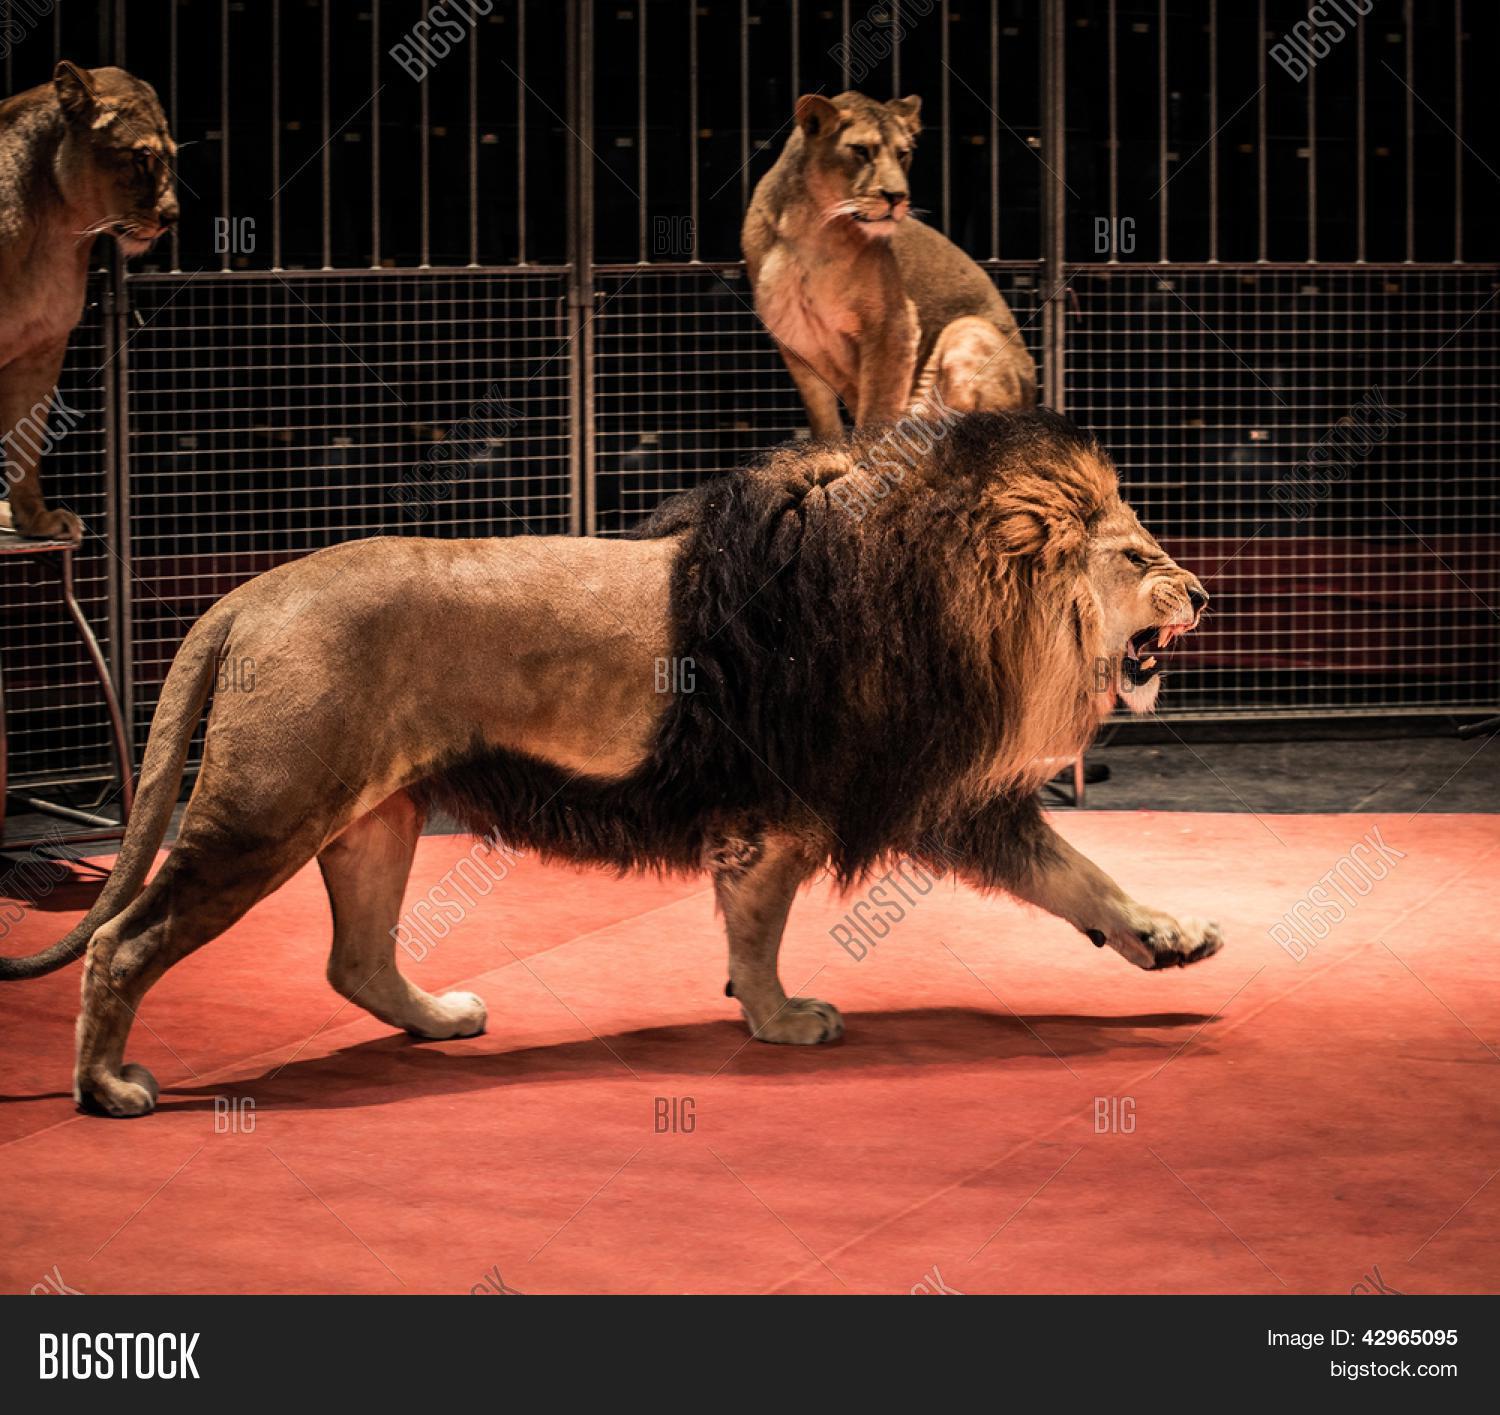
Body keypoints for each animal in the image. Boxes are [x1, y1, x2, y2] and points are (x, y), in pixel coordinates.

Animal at [0, 62, 179, 541]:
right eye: (141, 156)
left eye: (170, 156)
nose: (172, 216)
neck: (55, 226)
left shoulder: (43, 346)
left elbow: (25, 441)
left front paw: (36, 520)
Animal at [0, 410, 1218, 1118]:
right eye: (1139, 555)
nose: (1205, 592)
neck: (940, 590)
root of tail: (250, 591)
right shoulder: (789, 808)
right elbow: (759, 932)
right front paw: (781, 1020)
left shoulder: (936, 795)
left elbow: (1079, 875)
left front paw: (1171, 936)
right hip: (268, 808)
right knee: (120, 940)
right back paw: (107, 1086)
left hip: (374, 815)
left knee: (353, 957)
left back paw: (438, 1017)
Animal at [743, 90, 1036, 438]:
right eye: (860, 150)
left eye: (903, 154)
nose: (897, 196)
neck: (809, 227)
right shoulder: (797, 342)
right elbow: (825, 424)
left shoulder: (894, 325)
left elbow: (877, 412)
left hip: (968, 329)